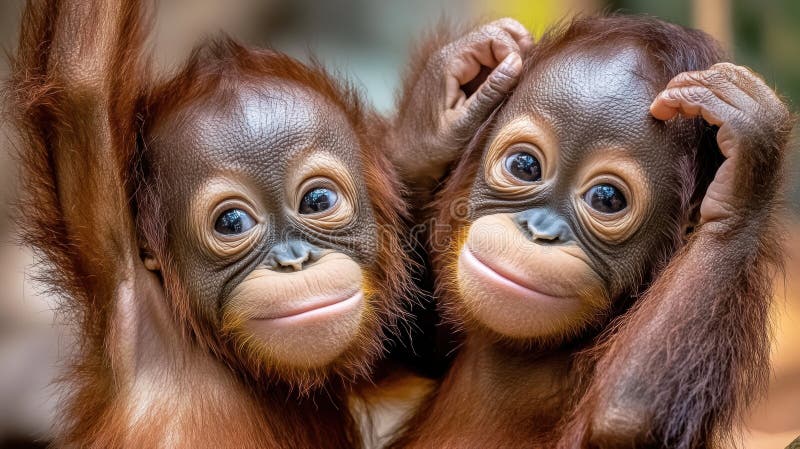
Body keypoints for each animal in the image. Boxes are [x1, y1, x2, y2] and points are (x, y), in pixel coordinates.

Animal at [386, 15, 793, 449]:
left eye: (607, 199)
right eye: (525, 166)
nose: (539, 231)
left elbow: (624, 418)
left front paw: (748, 161)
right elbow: (395, 332)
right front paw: (446, 98)